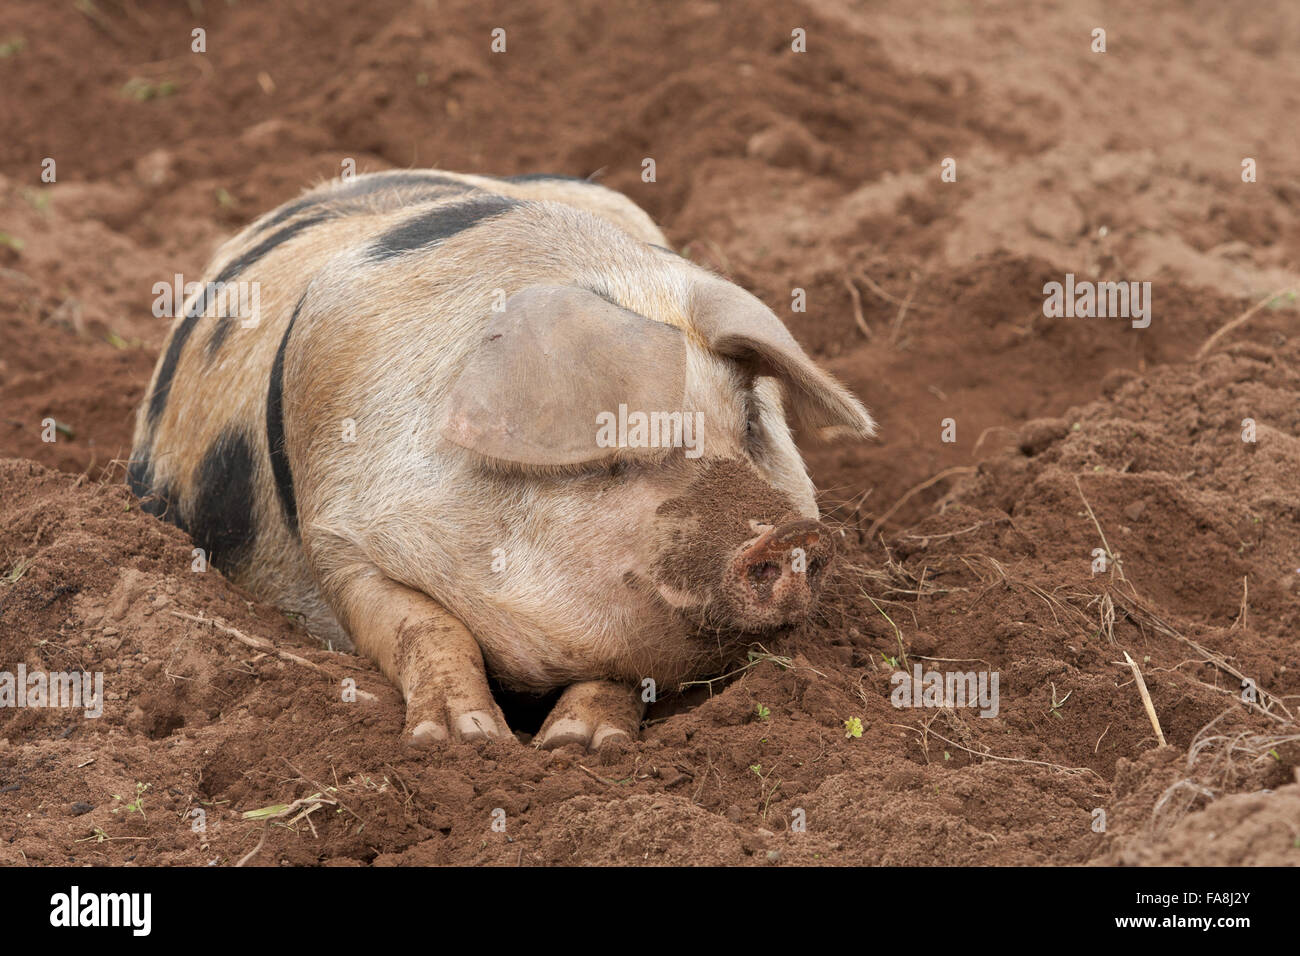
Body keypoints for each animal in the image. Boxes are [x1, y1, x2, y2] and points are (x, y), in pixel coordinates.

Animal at [128, 168, 875, 749]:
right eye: (616, 447)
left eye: (749, 421)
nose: (794, 534)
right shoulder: (339, 539)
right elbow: (424, 626)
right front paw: (462, 741)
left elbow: (622, 662)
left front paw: (576, 747)